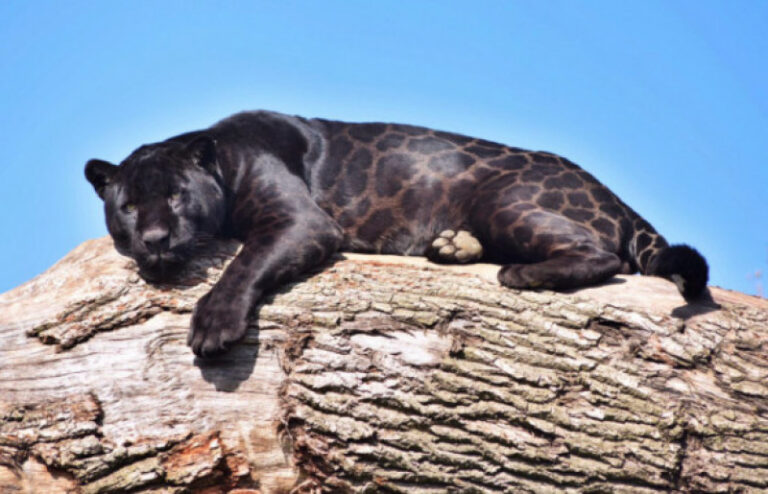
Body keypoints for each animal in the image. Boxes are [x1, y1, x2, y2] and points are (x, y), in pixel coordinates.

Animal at [85, 110, 708, 357]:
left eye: (175, 196)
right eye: (128, 205)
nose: (155, 238)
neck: (224, 157)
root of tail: (612, 195)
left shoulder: (300, 220)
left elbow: (245, 262)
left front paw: (215, 325)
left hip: (504, 199)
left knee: (604, 257)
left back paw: (520, 274)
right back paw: (454, 246)